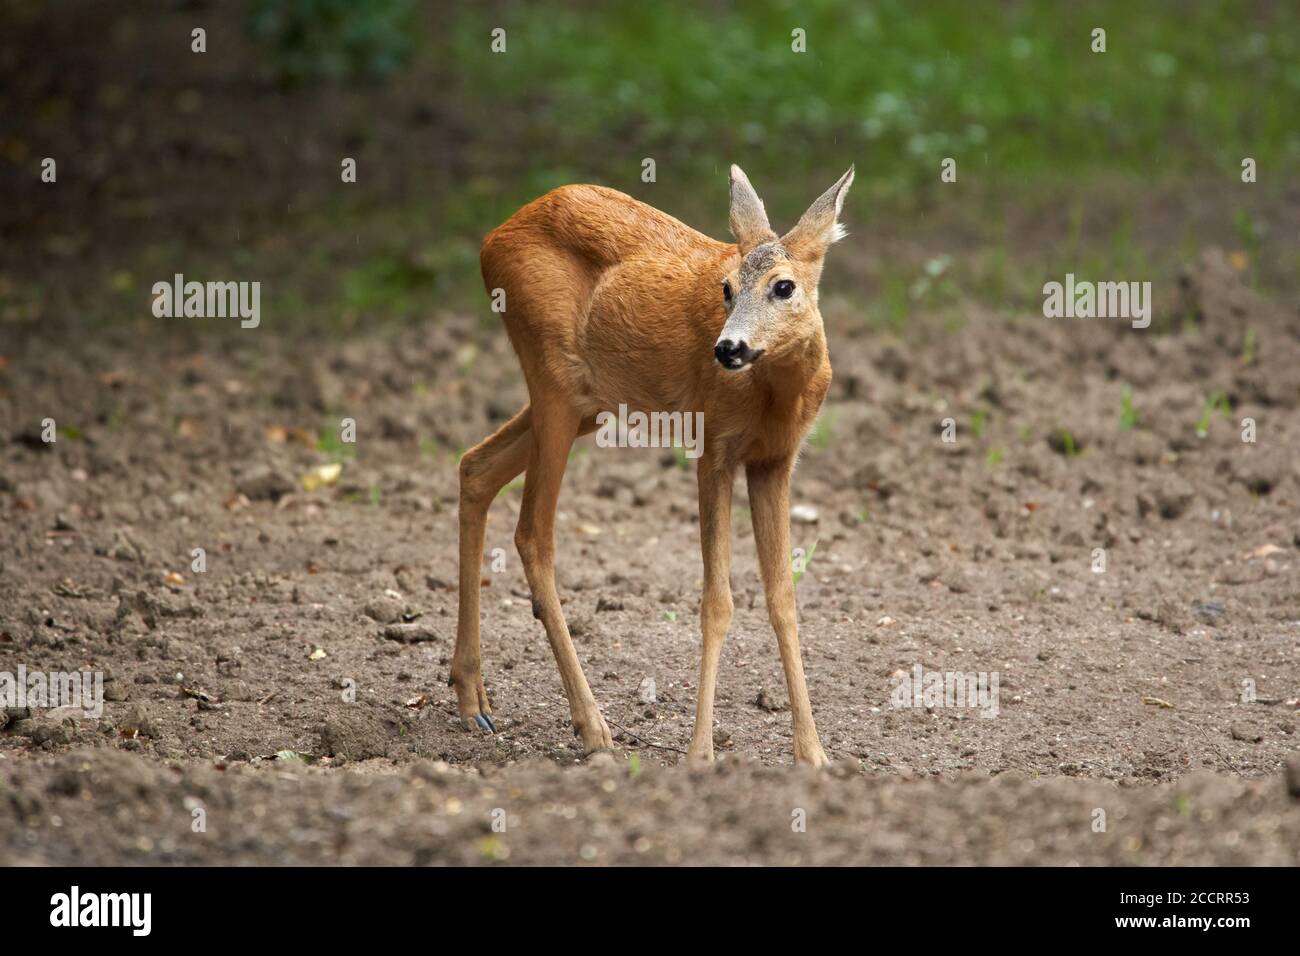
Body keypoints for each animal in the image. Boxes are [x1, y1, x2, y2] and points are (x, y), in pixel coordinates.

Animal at [453, 164, 854, 766]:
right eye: (726, 288)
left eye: (783, 286)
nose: (728, 349)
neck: (775, 397)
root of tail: (491, 239)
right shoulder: (713, 447)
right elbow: (717, 601)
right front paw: (700, 753)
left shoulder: (776, 460)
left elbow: (782, 597)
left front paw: (813, 755)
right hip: (553, 380)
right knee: (532, 534)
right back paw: (592, 726)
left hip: (589, 401)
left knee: (475, 466)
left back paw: (473, 699)